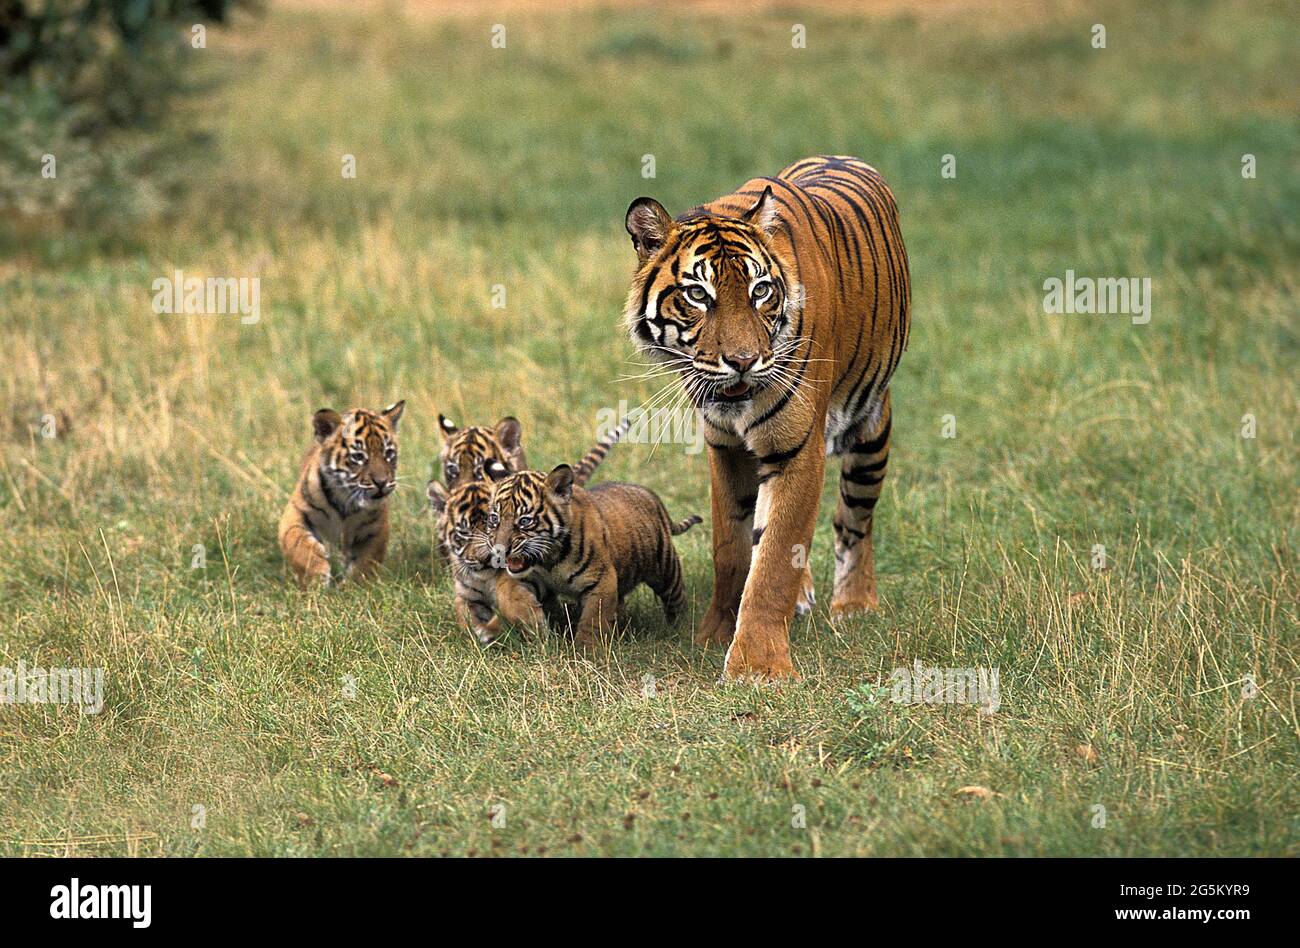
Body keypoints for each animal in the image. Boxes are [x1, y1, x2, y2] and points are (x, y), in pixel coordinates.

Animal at [278, 401, 405, 587]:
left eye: (388, 453)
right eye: (358, 456)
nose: (382, 482)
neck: (345, 500)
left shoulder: (375, 528)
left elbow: (366, 562)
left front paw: (355, 587)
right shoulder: (295, 514)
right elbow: (301, 548)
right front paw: (316, 580)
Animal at [485, 464, 702, 648]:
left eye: (524, 521)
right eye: (494, 519)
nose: (499, 550)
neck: (549, 559)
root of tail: (650, 494)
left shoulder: (601, 580)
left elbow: (593, 620)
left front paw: (586, 653)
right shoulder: (521, 577)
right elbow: (510, 600)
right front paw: (535, 628)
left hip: (665, 568)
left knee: (677, 598)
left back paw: (681, 630)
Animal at [623, 155, 911, 680]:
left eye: (760, 291)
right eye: (698, 295)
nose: (743, 361)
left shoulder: (797, 449)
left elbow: (775, 558)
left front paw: (758, 665)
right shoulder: (725, 448)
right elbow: (732, 547)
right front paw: (716, 633)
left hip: (871, 432)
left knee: (853, 519)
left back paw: (855, 604)